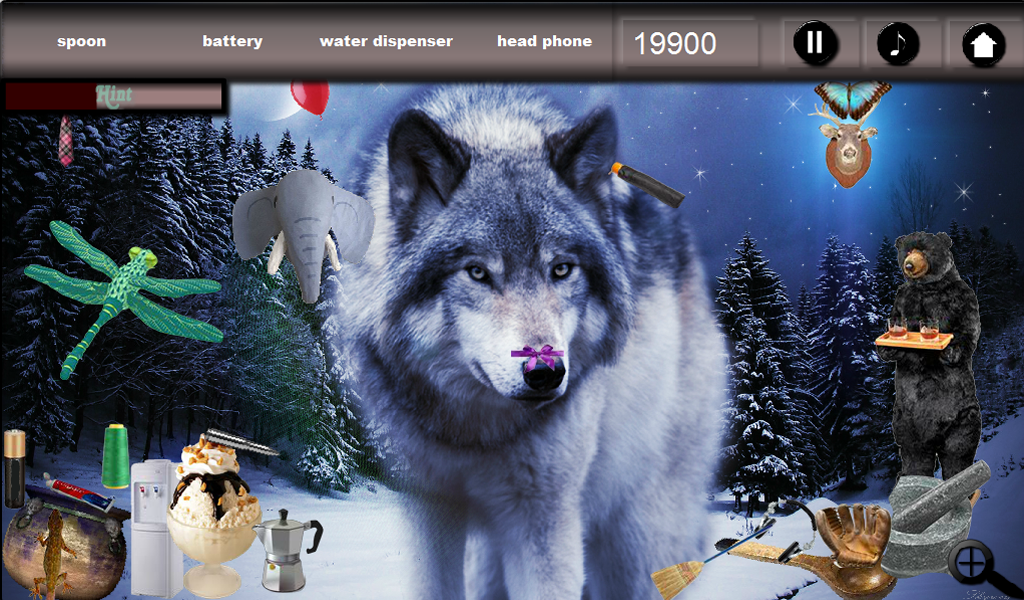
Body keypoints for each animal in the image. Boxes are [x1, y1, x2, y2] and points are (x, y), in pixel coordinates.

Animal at [339, 86, 725, 599]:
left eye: (561, 269)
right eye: (477, 272)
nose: (545, 373)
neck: (472, 433)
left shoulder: (543, 518)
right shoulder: (427, 505)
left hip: (637, 535)